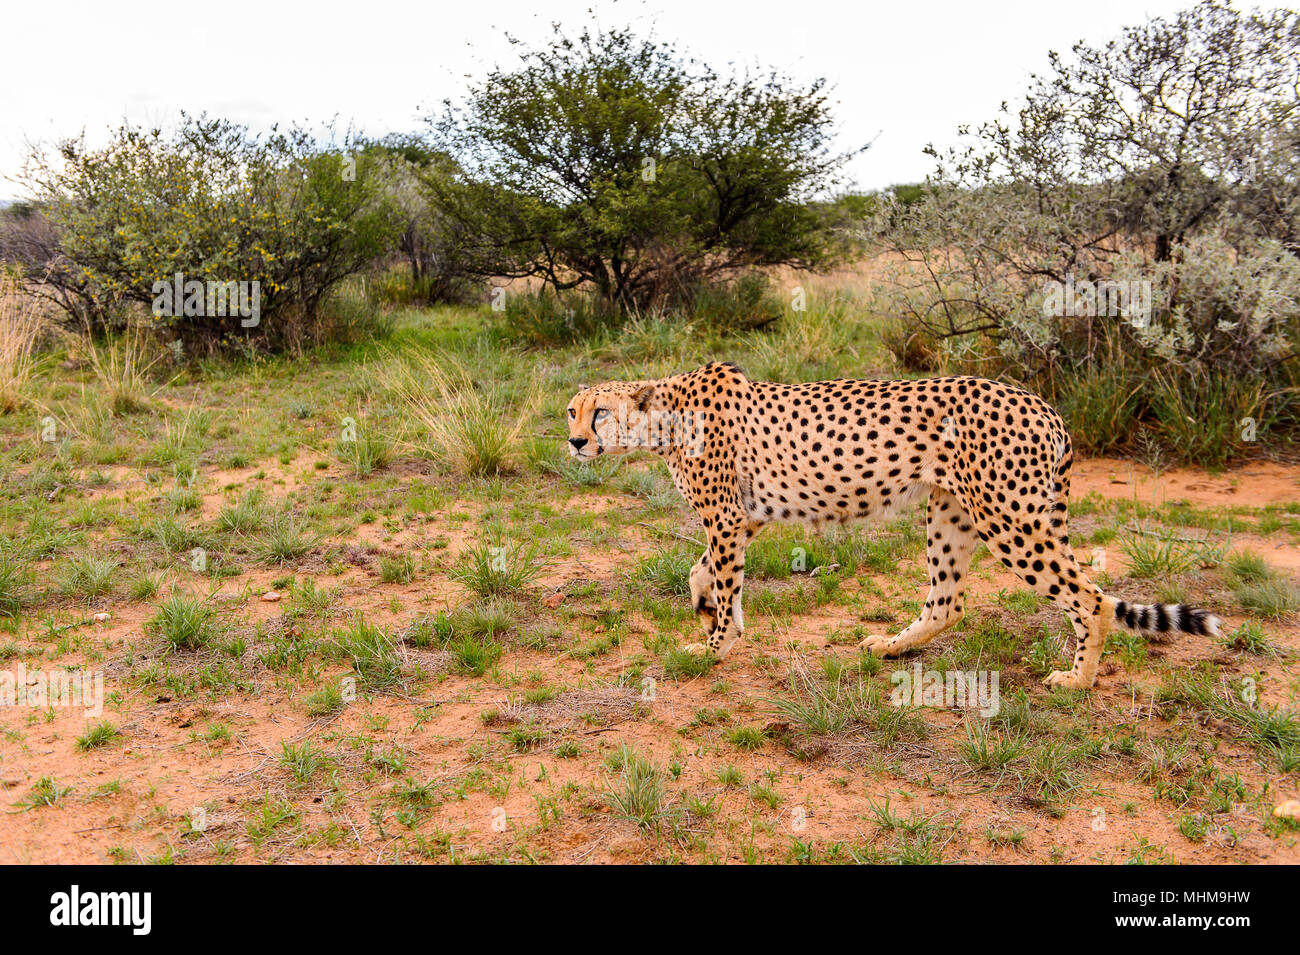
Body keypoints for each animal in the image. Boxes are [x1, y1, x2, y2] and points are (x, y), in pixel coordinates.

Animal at [565, 361, 1219, 690]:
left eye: (600, 413)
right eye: (571, 411)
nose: (573, 442)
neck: (666, 415)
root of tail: (1044, 405)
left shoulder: (727, 519)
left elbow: (722, 583)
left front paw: (714, 647)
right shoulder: (745, 519)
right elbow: (702, 572)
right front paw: (706, 611)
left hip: (1010, 520)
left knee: (1091, 597)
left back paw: (1078, 679)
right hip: (952, 511)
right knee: (948, 602)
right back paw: (891, 647)